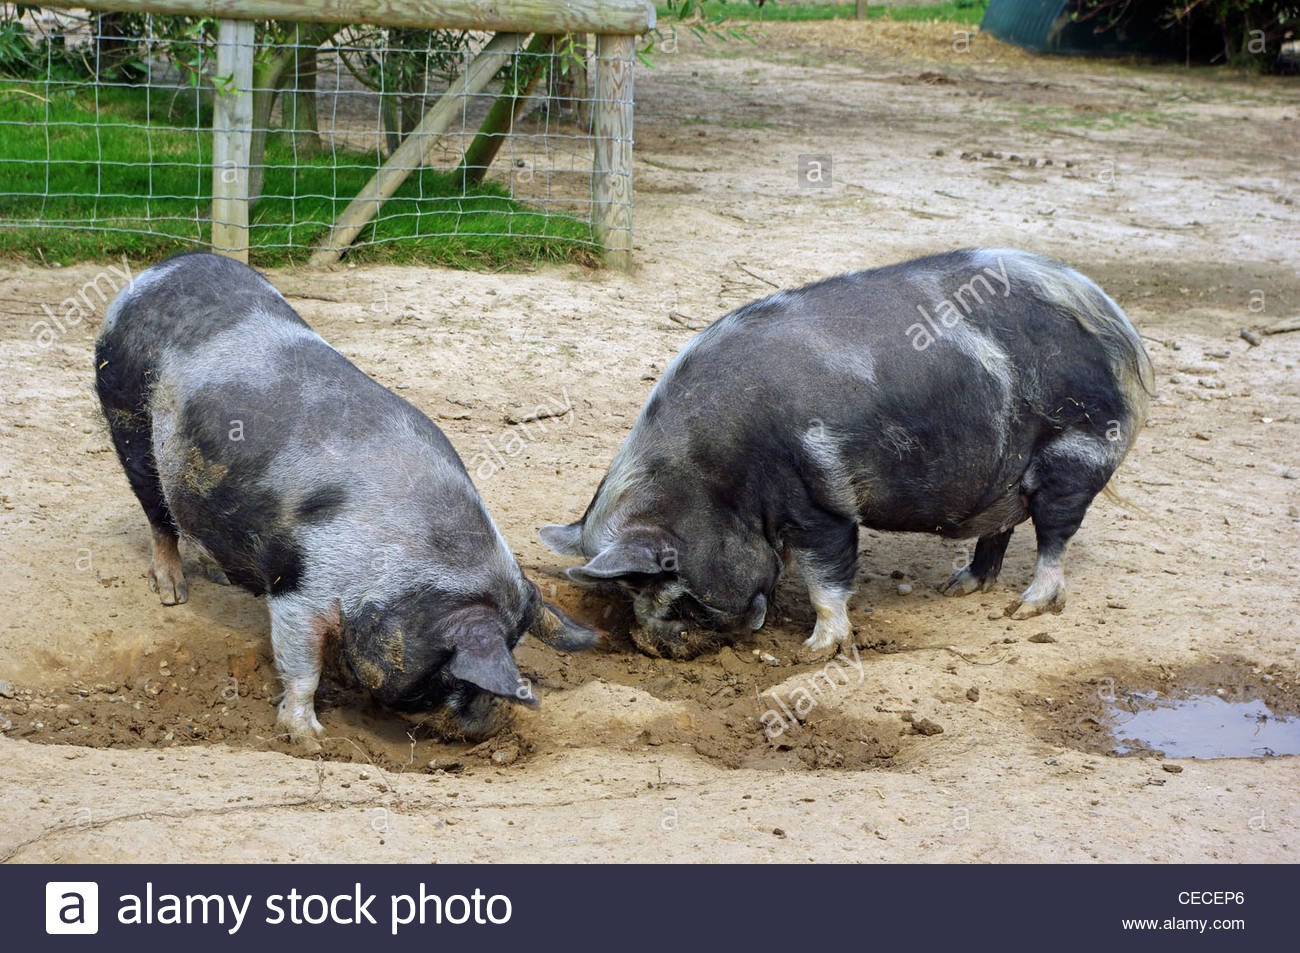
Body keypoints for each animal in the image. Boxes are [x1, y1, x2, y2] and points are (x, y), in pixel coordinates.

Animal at [95, 252, 596, 742]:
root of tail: (158, 269)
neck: (403, 563)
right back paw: (172, 594)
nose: (496, 723)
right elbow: (302, 664)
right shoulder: (302, 585)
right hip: (126, 414)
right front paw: (311, 739)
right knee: (157, 513)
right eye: (454, 677)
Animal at [541, 249, 1154, 659]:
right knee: (998, 529)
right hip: (1008, 474)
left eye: (668, 580)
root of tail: (1117, 320)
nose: (650, 647)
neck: (717, 477)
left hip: (1078, 448)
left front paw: (814, 651)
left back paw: (1026, 608)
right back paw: (958, 587)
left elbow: (827, 577)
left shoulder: (820, 499)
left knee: (1054, 533)